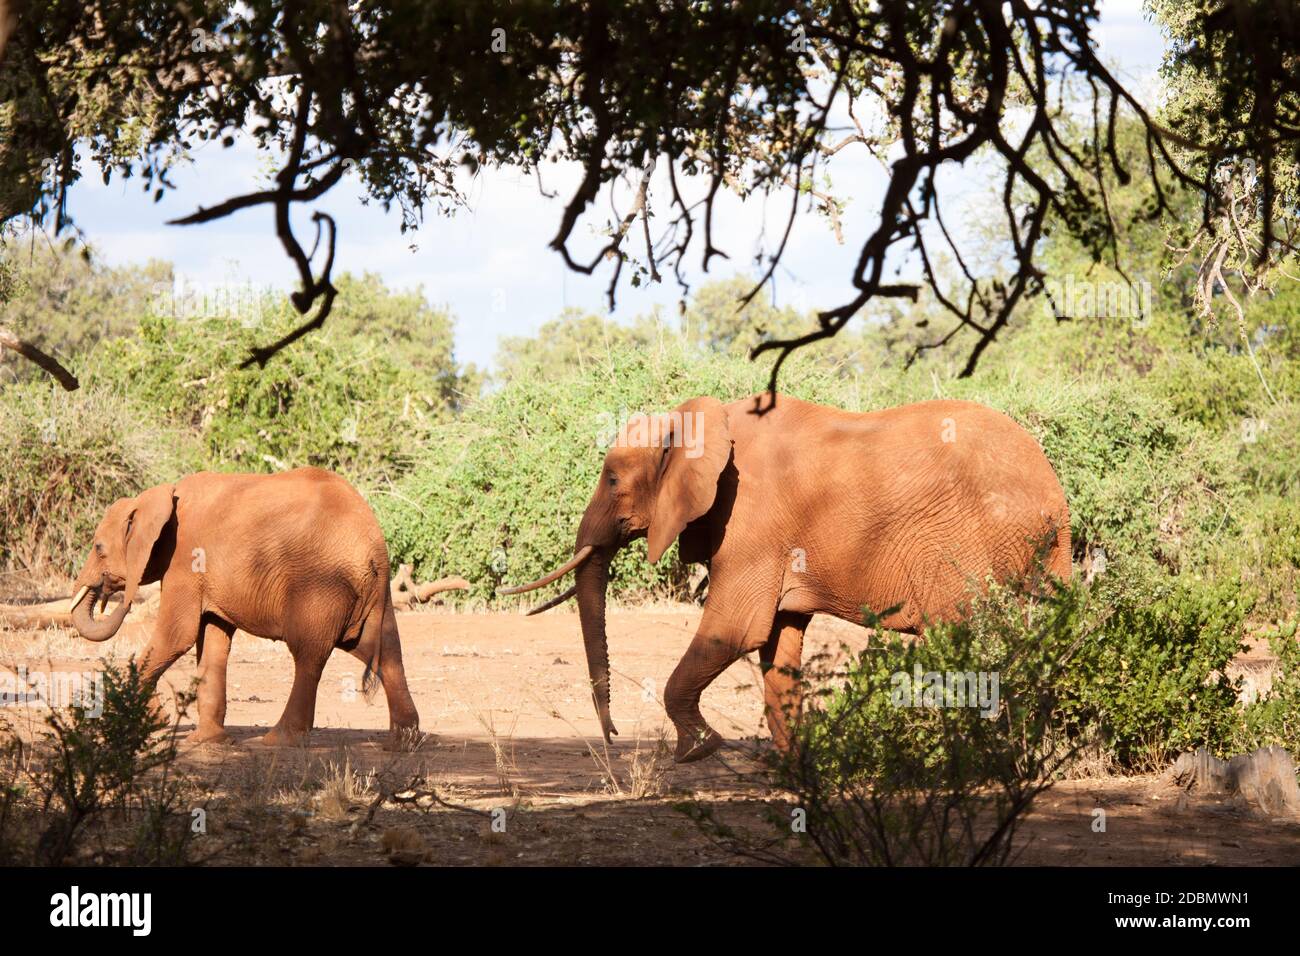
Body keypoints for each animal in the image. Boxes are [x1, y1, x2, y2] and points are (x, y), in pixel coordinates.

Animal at [68, 467, 424, 748]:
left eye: (98, 548)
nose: (109, 592)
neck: (157, 498)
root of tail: (374, 545)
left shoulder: (185, 561)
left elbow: (177, 636)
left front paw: (151, 720)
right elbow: (212, 641)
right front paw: (207, 741)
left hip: (321, 584)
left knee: (309, 654)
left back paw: (278, 740)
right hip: (369, 593)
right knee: (380, 650)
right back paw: (403, 743)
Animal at [501, 394, 1072, 763]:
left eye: (613, 478)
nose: (614, 738)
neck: (696, 422)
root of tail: (1055, 500)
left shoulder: (749, 518)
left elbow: (736, 629)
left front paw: (698, 751)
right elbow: (778, 643)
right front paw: (794, 768)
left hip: (969, 545)